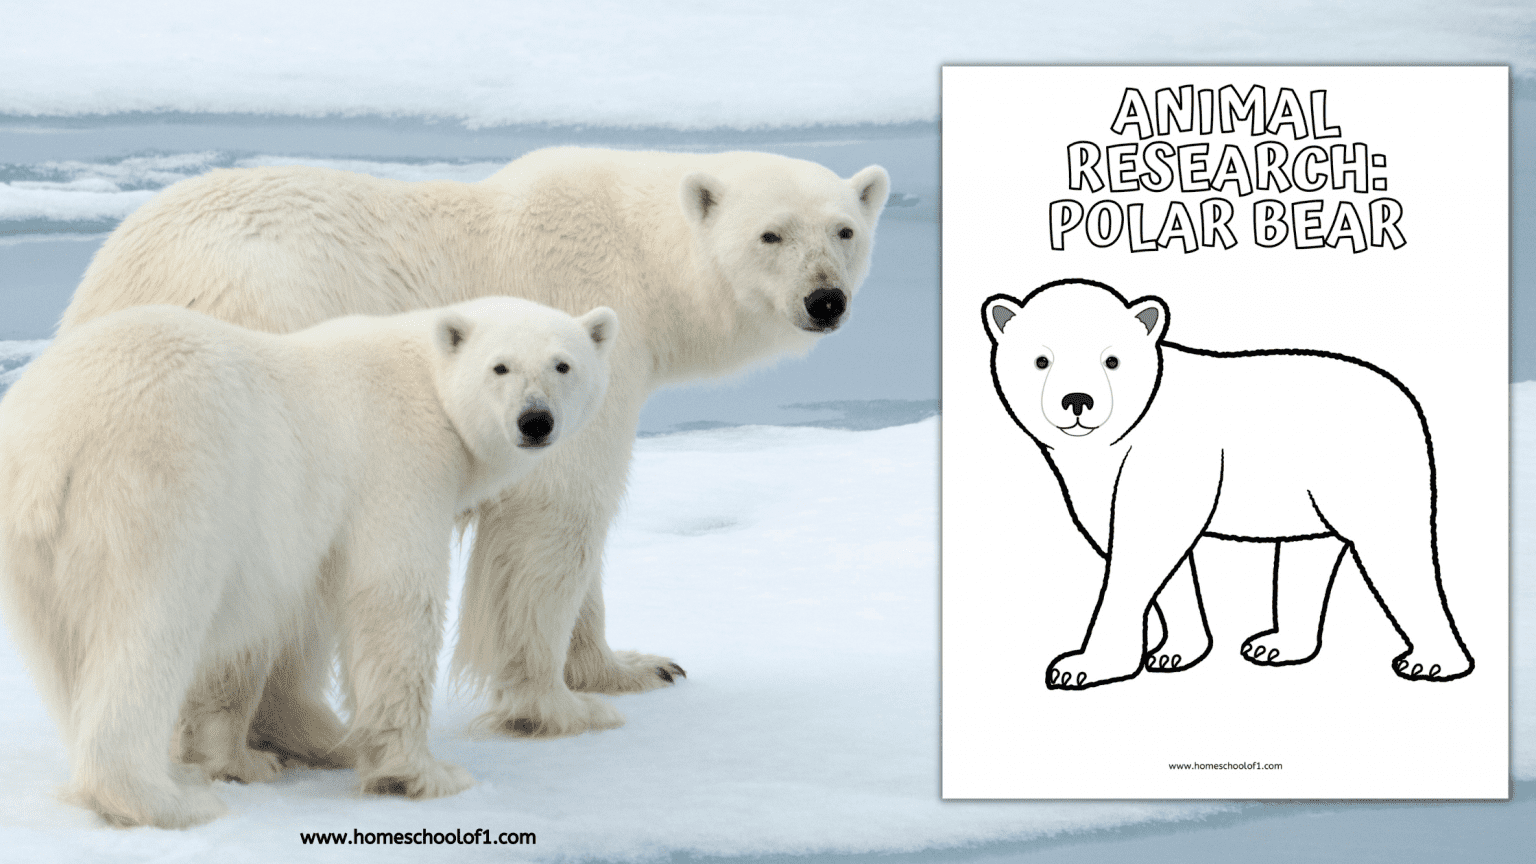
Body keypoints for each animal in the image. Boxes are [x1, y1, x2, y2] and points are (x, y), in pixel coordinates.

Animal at [0, 296, 618, 827]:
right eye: (499, 367)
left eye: (563, 364)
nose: (535, 421)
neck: (426, 379)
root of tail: (49, 444)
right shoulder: (399, 460)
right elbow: (393, 599)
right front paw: (421, 773)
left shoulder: (307, 532)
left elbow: (294, 617)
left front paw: (268, 752)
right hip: (155, 489)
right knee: (150, 629)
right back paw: (164, 800)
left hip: (31, 552)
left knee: (64, 656)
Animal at [57, 147, 890, 742]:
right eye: (771, 233)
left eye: (845, 230)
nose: (825, 300)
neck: (639, 254)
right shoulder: (569, 328)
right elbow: (557, 511)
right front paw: (553, 705)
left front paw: (633, 666)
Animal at [981, 278, 1474, 691]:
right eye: (1040, 359)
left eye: (1112, 359)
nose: (1078, 401)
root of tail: (1406, 396)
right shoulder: (1102, 471)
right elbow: (1151, 549)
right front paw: (1173, 653)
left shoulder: (1170, 448)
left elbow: (1142, 547)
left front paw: (1080, 666)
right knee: (1310, 549)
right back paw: (1275, 644)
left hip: (1364, 467)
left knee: (1396, 551)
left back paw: (1430, 662)